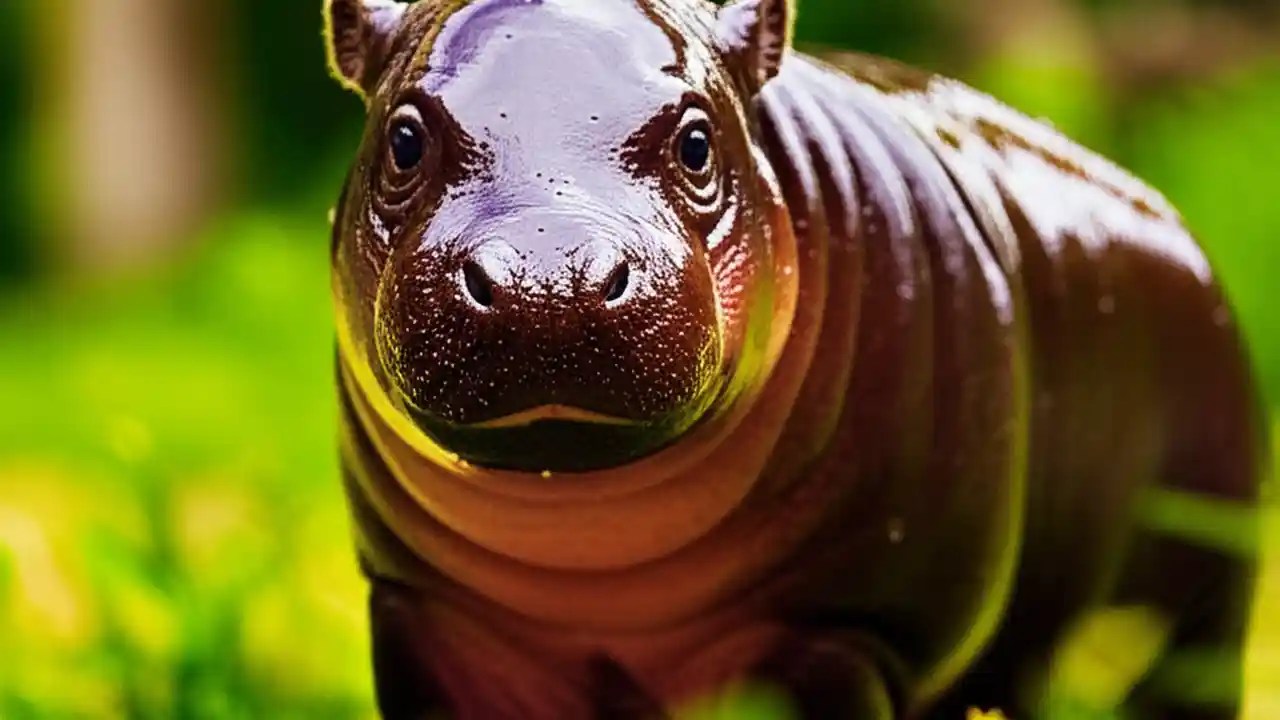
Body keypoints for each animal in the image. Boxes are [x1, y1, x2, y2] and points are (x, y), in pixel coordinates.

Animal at [322, 0, 1268, 717]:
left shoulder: (843, 629)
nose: (546, 277)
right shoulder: (431, 621)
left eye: (697, 142)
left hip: (1193, 630)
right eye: (403, 138)